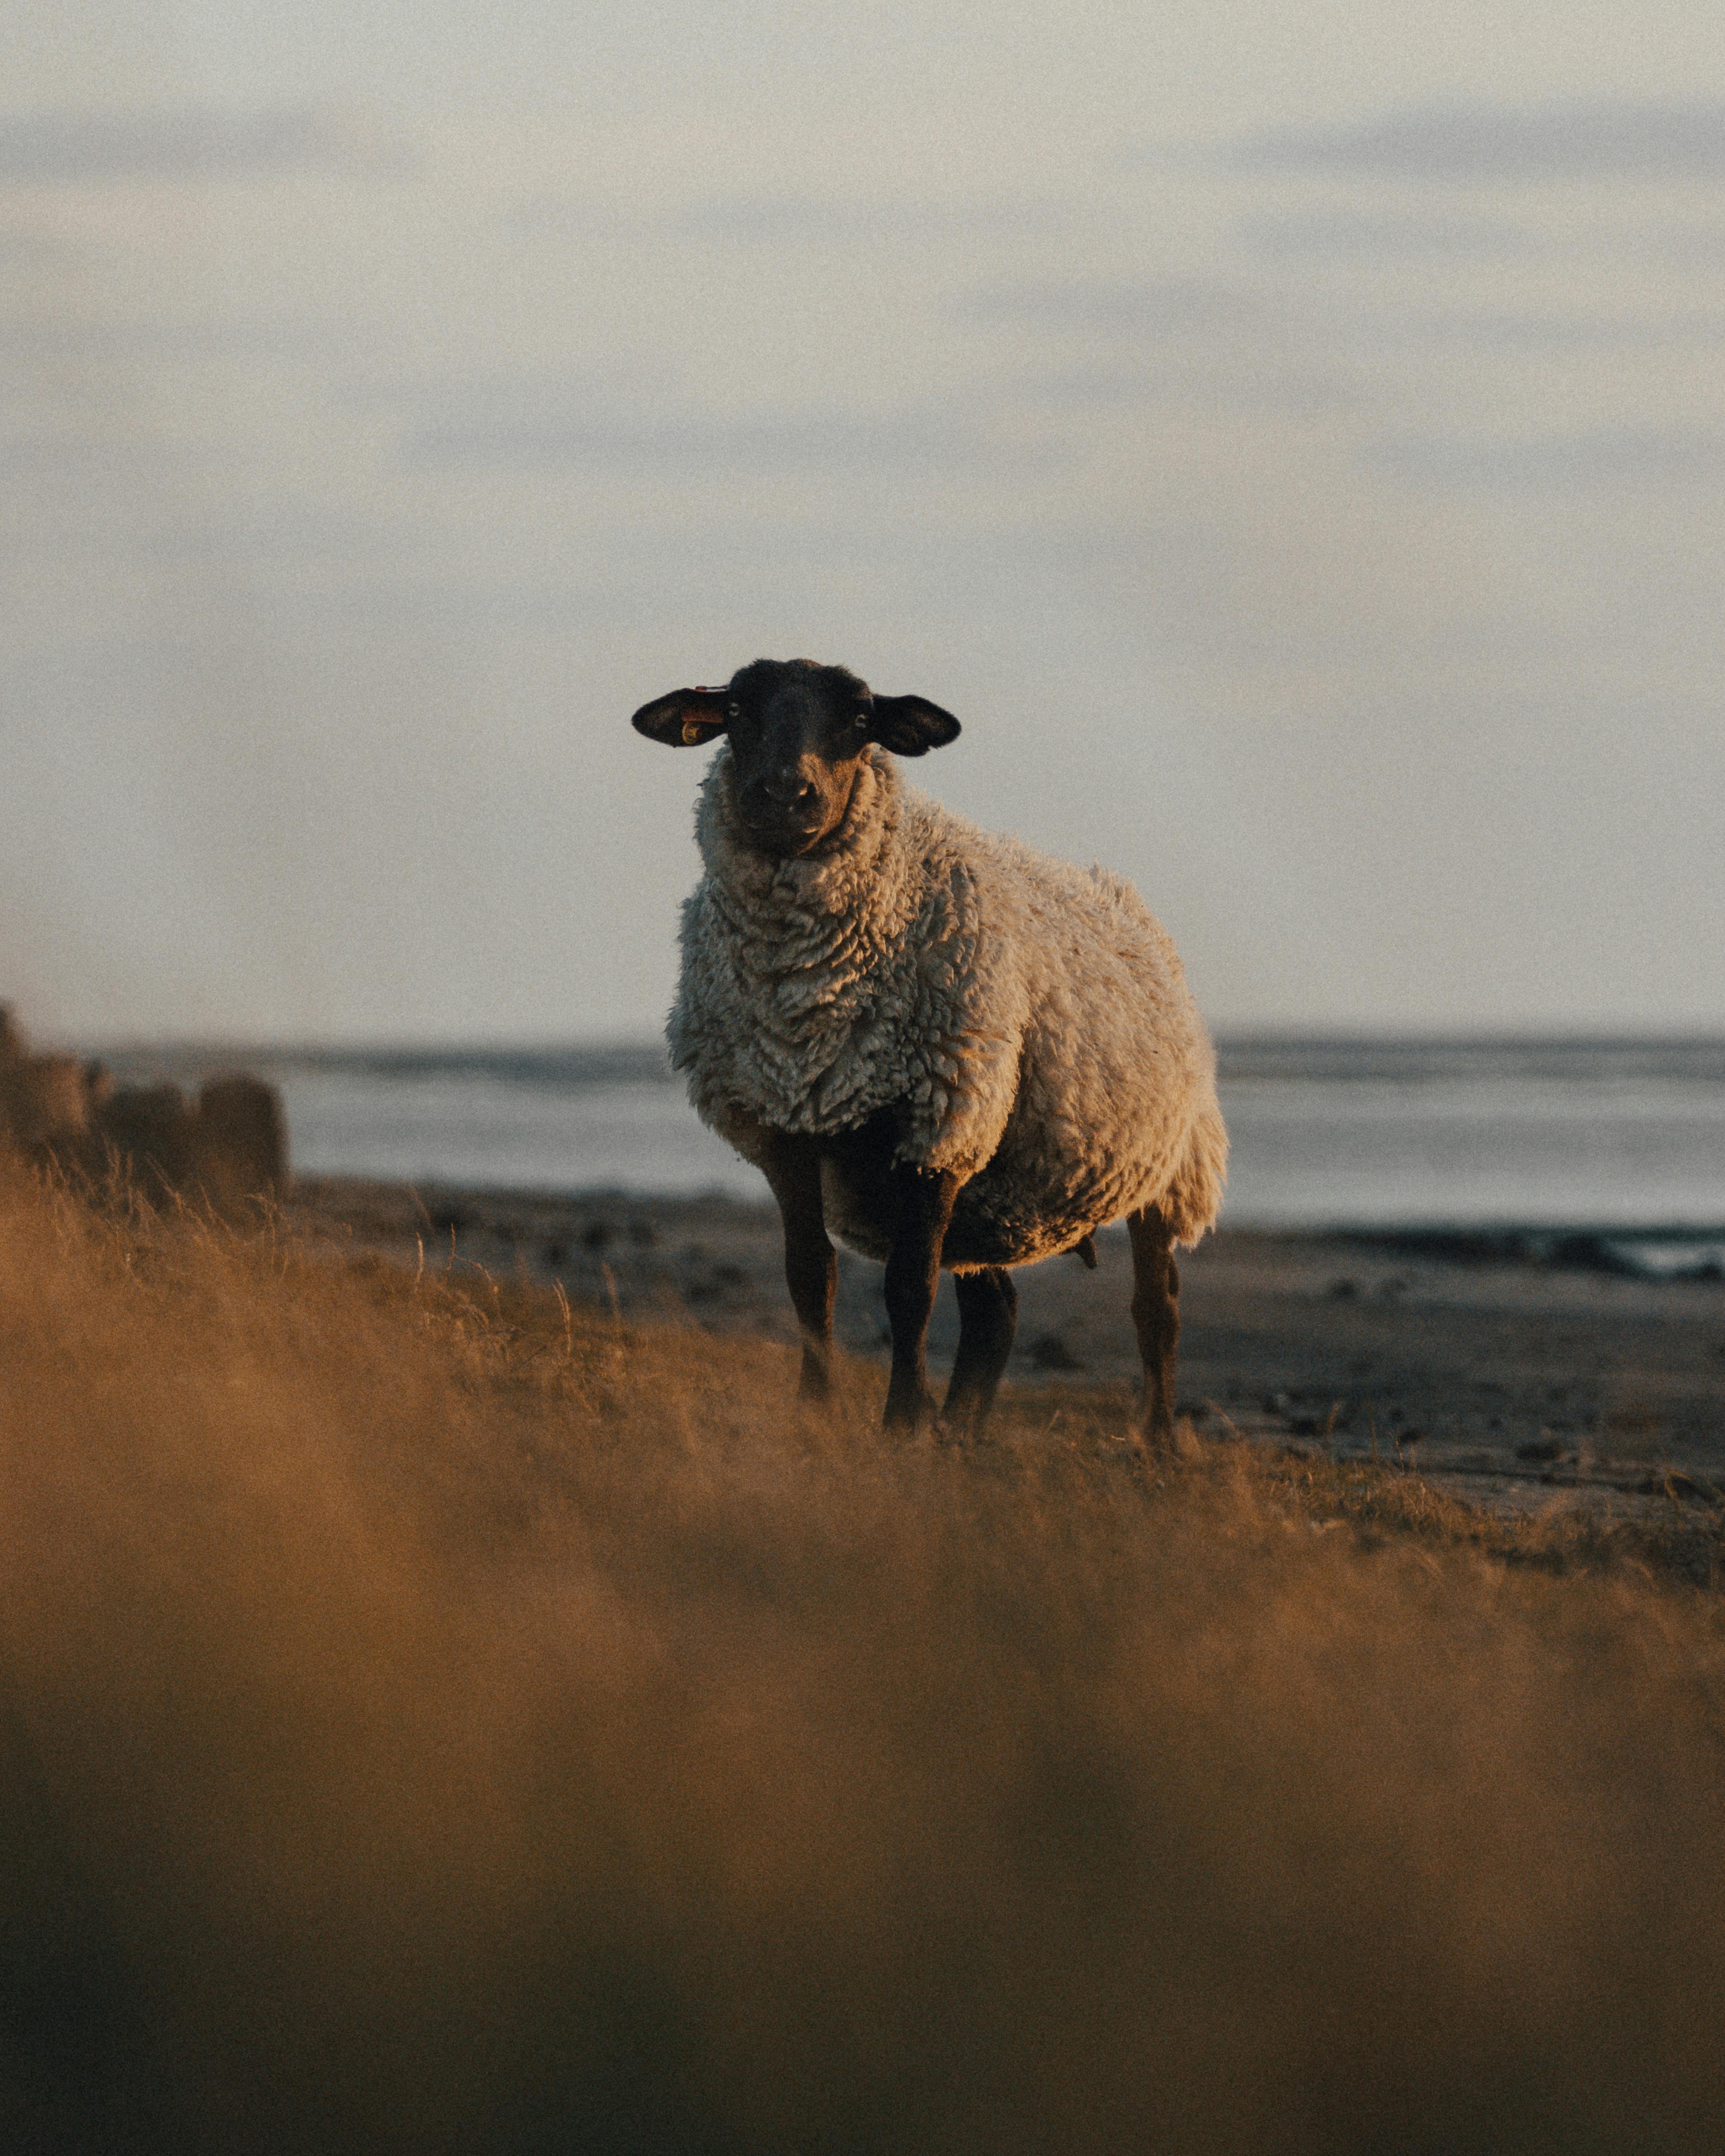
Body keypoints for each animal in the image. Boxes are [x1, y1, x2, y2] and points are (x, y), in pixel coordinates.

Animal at [633, 658, 1228, 1441]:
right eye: (735, 710)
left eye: (860, 720)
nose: (786, 794)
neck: (807, 1005)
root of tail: (1125, 897)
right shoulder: (782, 1127)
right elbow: (809, 1277)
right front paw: (817, 1415)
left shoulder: (938, 1119)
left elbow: (908, 1289)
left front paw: (901, 1422)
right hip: (989, 1194)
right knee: (994, 1311)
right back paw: (962, 1436)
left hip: (1165, 1164)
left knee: (1156, 1310)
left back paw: (1157, 1441)